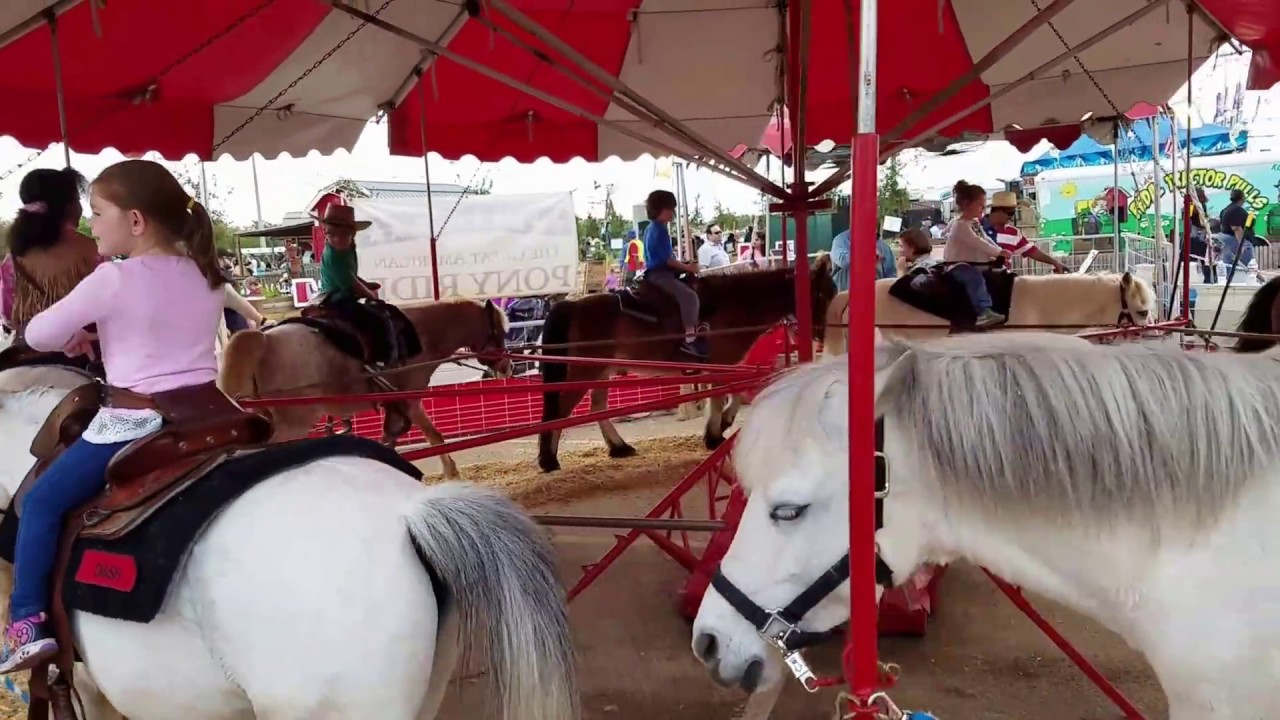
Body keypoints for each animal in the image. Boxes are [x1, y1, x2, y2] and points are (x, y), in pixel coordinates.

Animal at [219, 298, 512, 480]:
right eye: (499, 331)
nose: (507, 366)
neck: (419, 335)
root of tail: (263, 339)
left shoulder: (396, 406)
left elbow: (390, 440)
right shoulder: (410, 399)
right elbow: (434, 435)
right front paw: (452, 473)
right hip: (291, 424)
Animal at [536, 256, 838, 472]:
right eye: (822, 294)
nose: (821, 333)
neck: (735, 304)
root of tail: (573, 306)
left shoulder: (723, 364)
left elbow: (736, 393)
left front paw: (723, 423)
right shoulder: (720, 362)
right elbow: (721, 396)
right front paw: (714, 435)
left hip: (602, 370)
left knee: (597, 408)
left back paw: (619, 447)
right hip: (584, 370)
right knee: (561, 410)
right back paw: (548, 460)